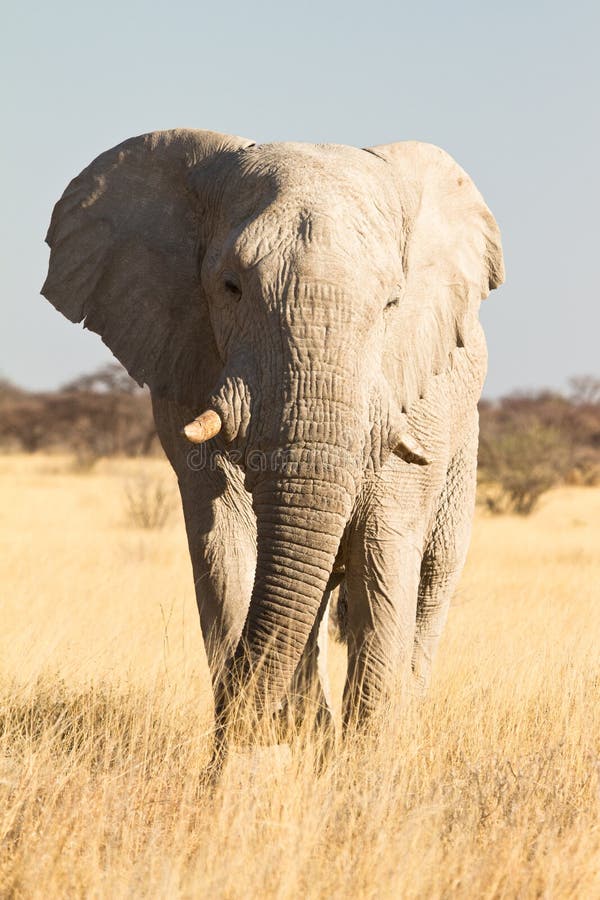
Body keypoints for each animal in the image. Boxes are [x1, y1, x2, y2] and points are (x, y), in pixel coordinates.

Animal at [41, 129, 504, 758]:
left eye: (391, 303)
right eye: (231, 288)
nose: (222, 750)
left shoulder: (417, 402)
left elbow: (383, 554)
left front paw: (364, 762)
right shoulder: (187, 366)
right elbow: (226, 545)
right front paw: (268, 749)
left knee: (431, 576)